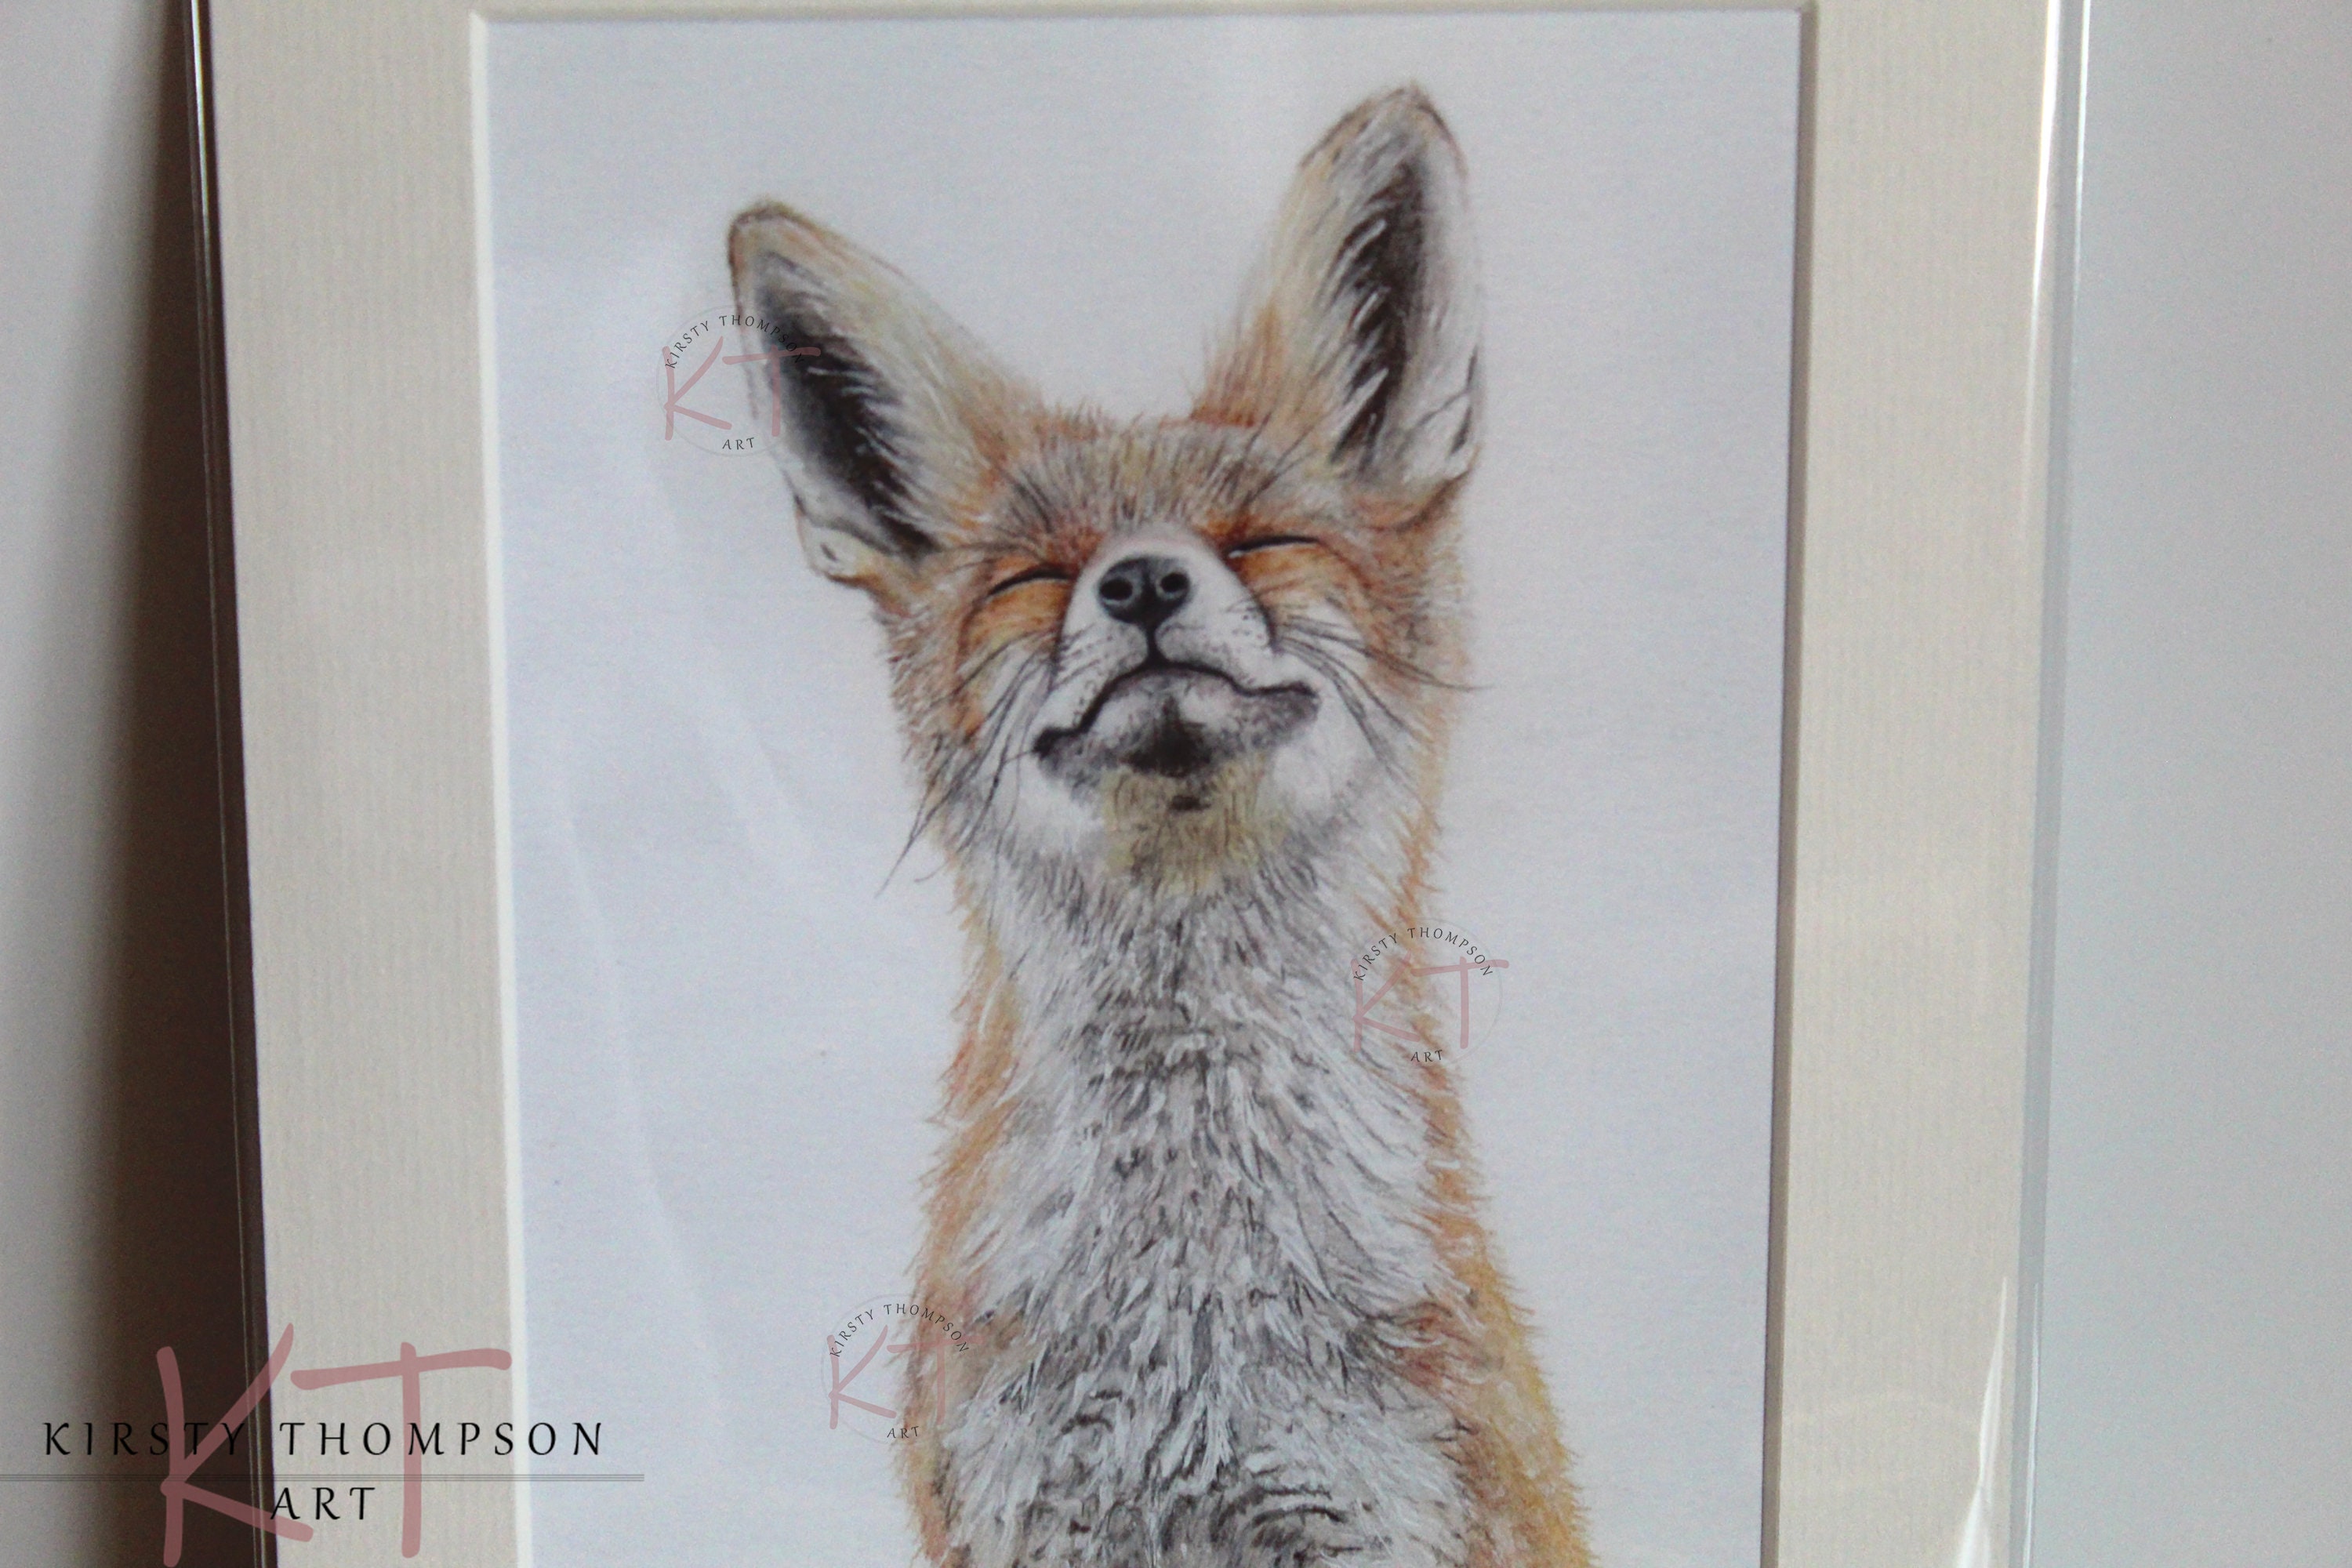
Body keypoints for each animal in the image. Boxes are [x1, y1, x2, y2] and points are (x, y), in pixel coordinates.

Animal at [729, 86, 1592, 1568]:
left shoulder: (1382, 1512)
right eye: (1034, 578)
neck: (1195, 1323)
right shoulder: (1040, 1518)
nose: (1139, 582)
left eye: (1259, 543)